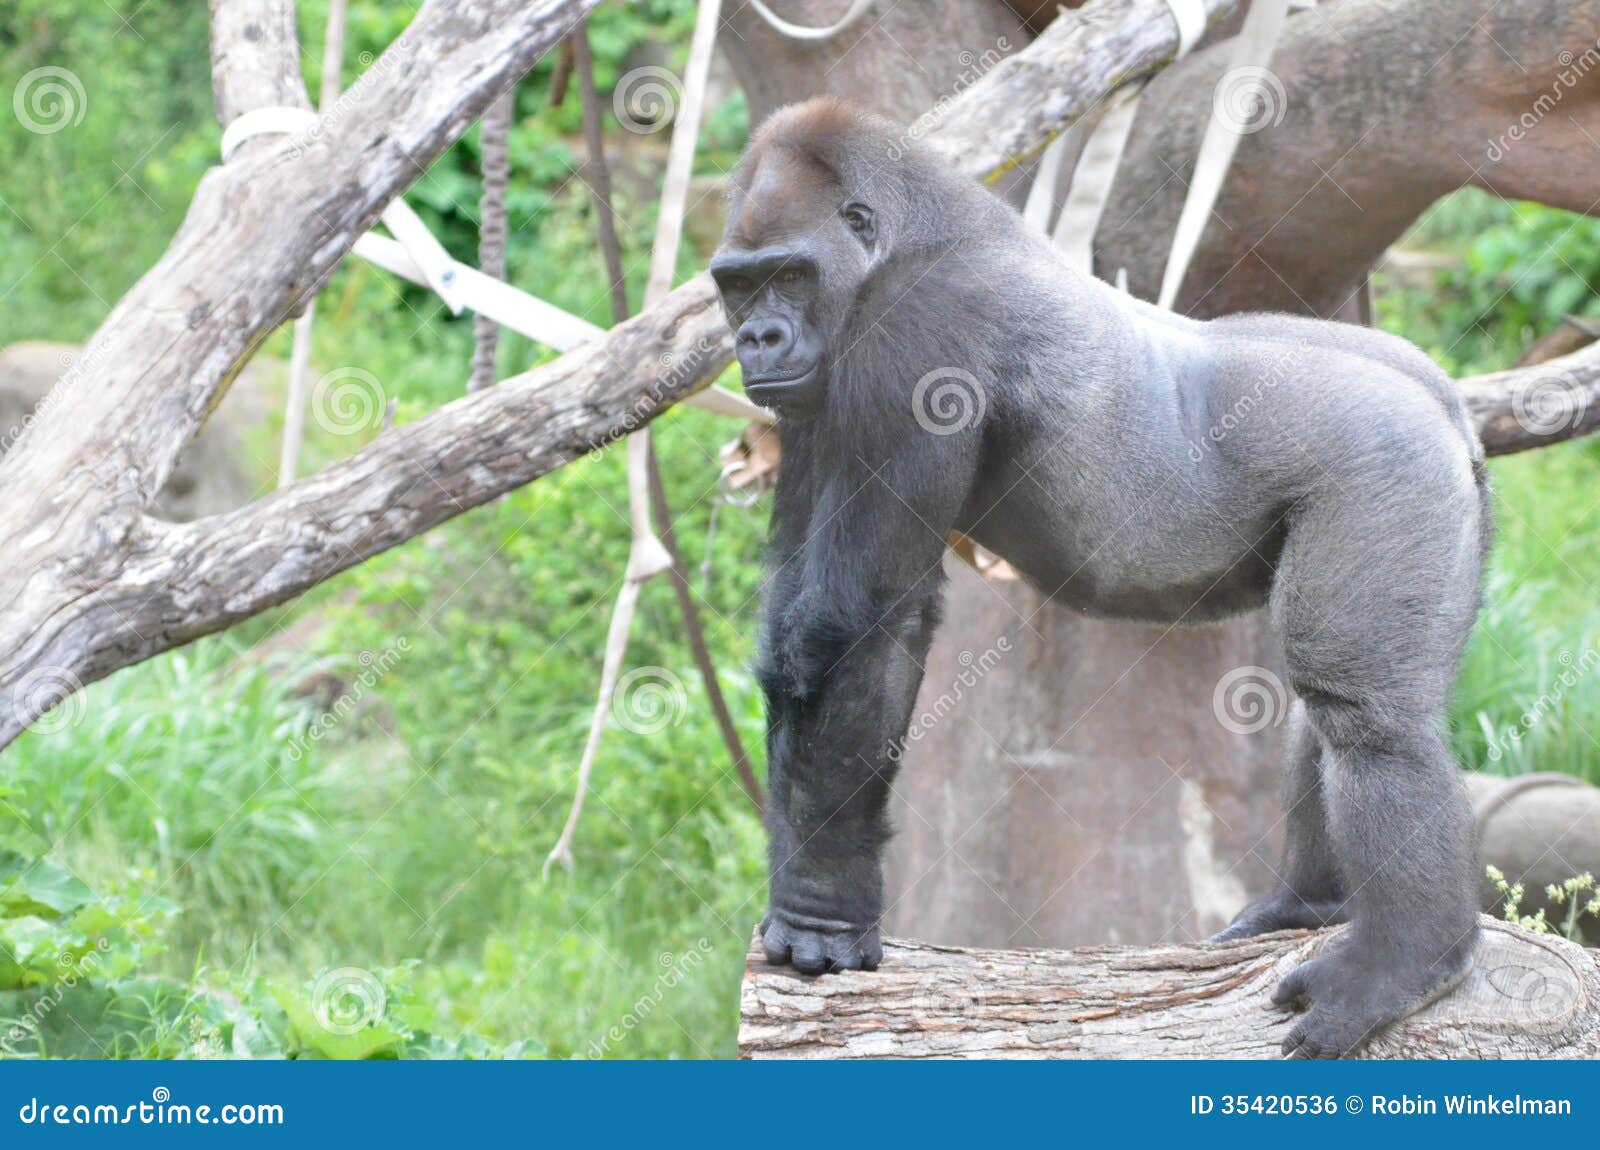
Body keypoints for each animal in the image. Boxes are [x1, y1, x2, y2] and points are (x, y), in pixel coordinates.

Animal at [709, 99, 1490, 1059]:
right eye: (738, 286)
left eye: (789, 275)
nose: (756, 337)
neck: (906, 238)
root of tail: (1442, 401)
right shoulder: (816, 395)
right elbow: (801, 626)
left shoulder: (914, 337)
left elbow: (855, 628)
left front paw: (819, 911)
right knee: (1333, 703)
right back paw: (1307, 906)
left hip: (1387, 461)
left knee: (1367, 717)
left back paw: (1406, 959)